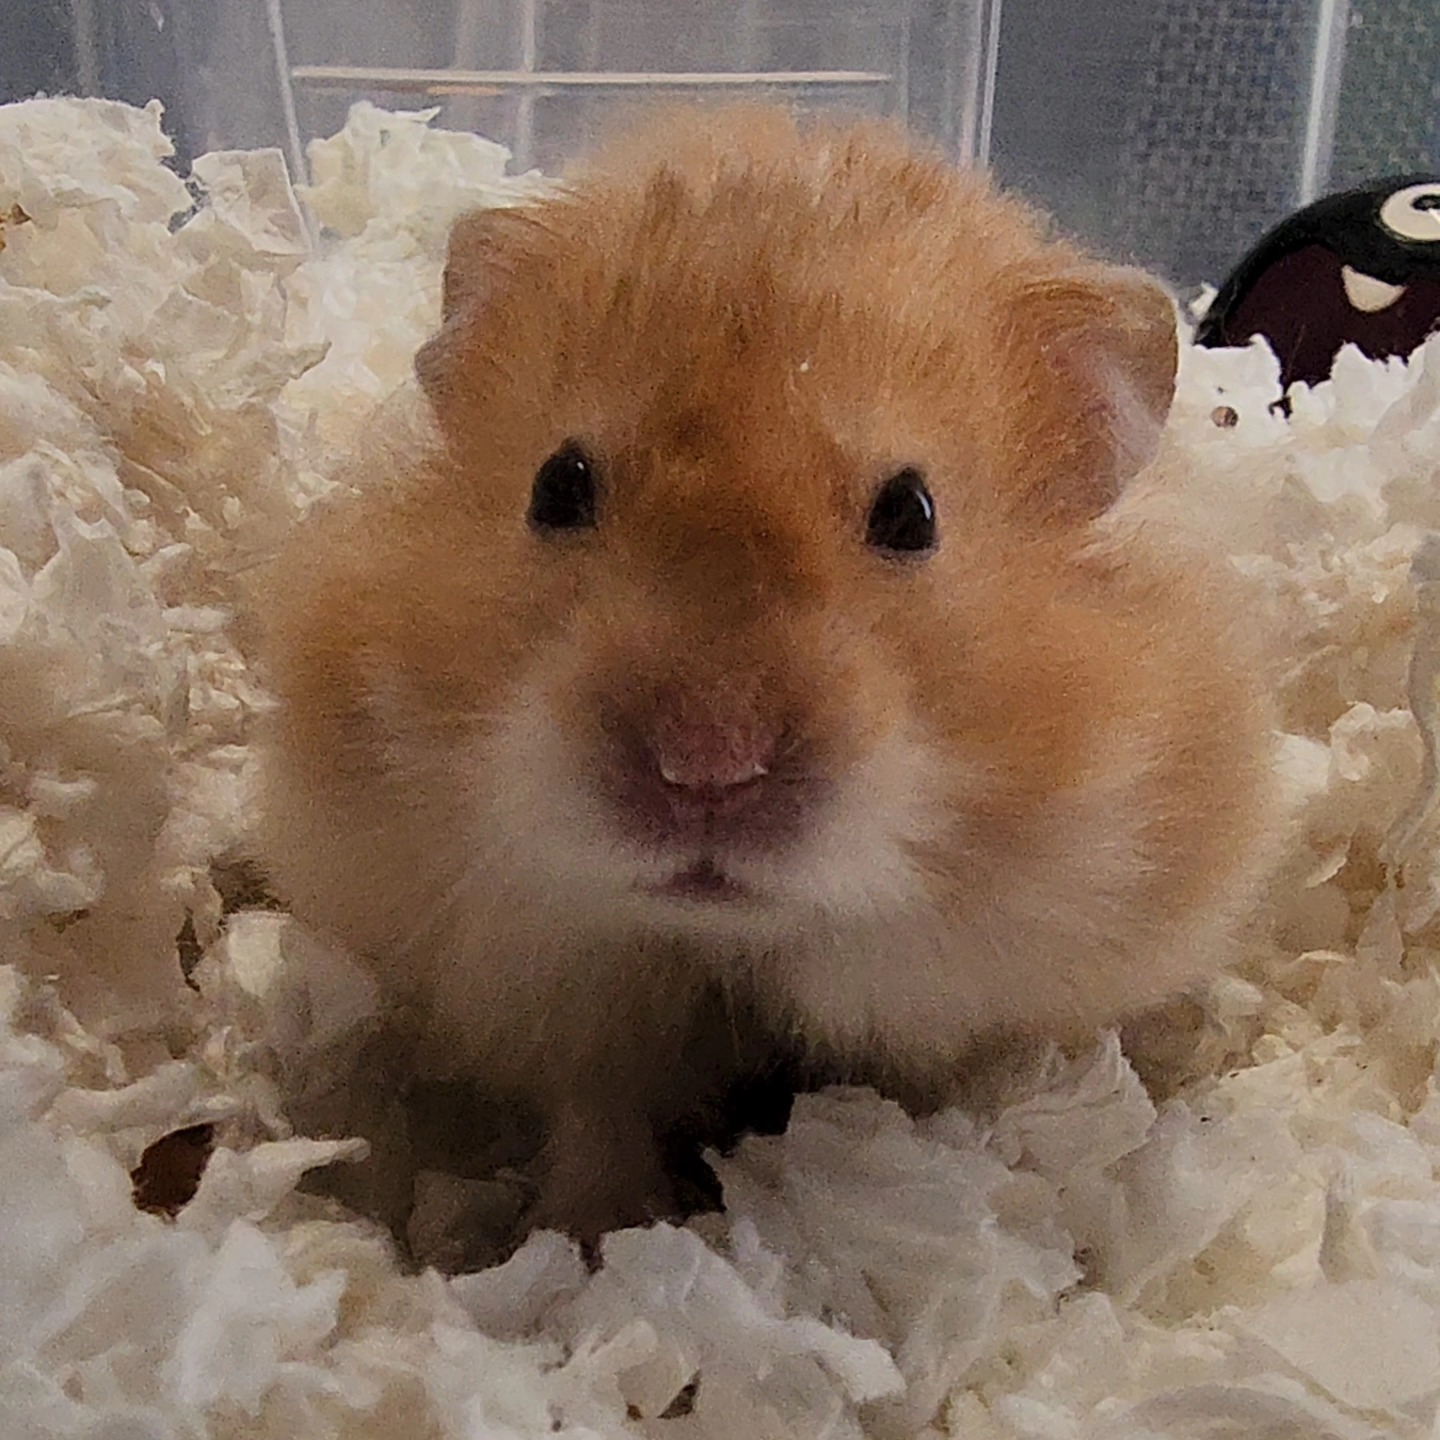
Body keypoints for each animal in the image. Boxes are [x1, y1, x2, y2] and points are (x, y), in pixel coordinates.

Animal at [254, 106, 1280, 1243]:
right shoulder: (561, 995)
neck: (727, 945)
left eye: (911, 513)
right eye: (557, 487)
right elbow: (597, 1120)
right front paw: (590, 1238)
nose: (705, 767)